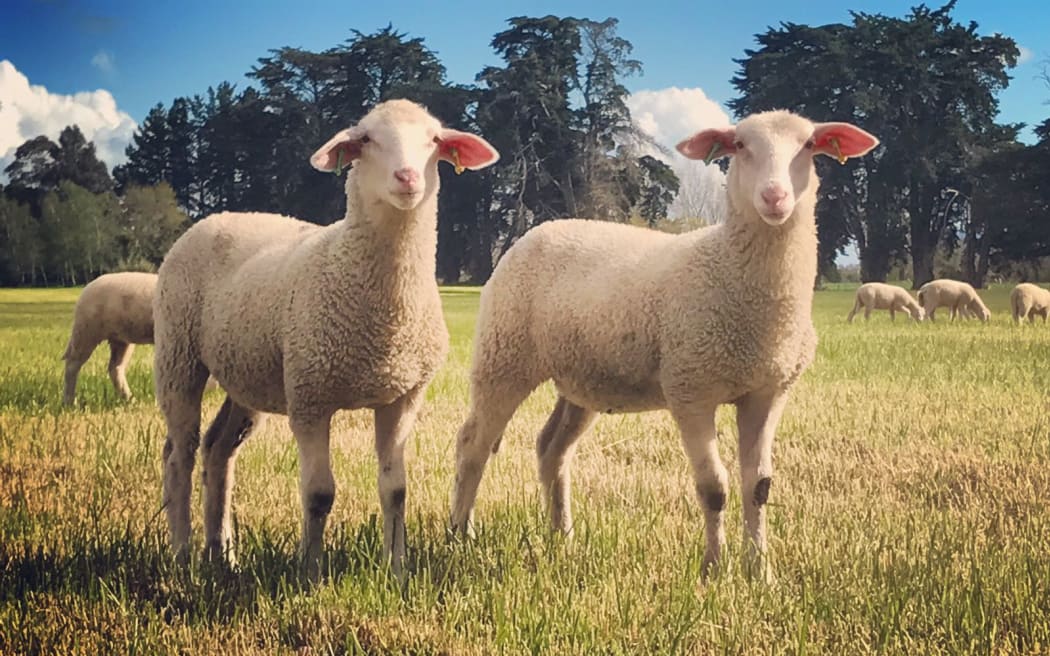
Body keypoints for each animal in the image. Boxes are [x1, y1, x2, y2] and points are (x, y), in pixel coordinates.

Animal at [63, 272, 157, 405]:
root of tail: (87, 287)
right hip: (86, 329)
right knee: (72, 364)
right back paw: (70, 403)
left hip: (120, 339)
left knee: (115, 367)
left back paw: (131, 400)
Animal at [153, 99, 499, 579]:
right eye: (366, 140)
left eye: (433, 139)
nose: (408, 178)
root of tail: (222, 215)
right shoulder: (310, 397)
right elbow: (319, 494)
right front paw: (310, 572)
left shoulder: (401, 398)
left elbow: (396, 490)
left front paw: (397, 569)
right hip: (178, 354)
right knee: (179, 454)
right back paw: (183, 552)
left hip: (248, 373)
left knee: (217, 449)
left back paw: (221, 552)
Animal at [448, 110, 878, 582]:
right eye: (740, 146)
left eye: (809, 146)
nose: (775, 197)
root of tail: (540, 229)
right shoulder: (689, 388)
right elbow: (714, 489)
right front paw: (713, 571)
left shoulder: (768, 392)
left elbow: (758, 487)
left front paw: (760, 573)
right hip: (503, 355)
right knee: (472, 445)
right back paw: (460, 534)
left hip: (581, 377)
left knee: (551, 449)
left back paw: (563, 538)